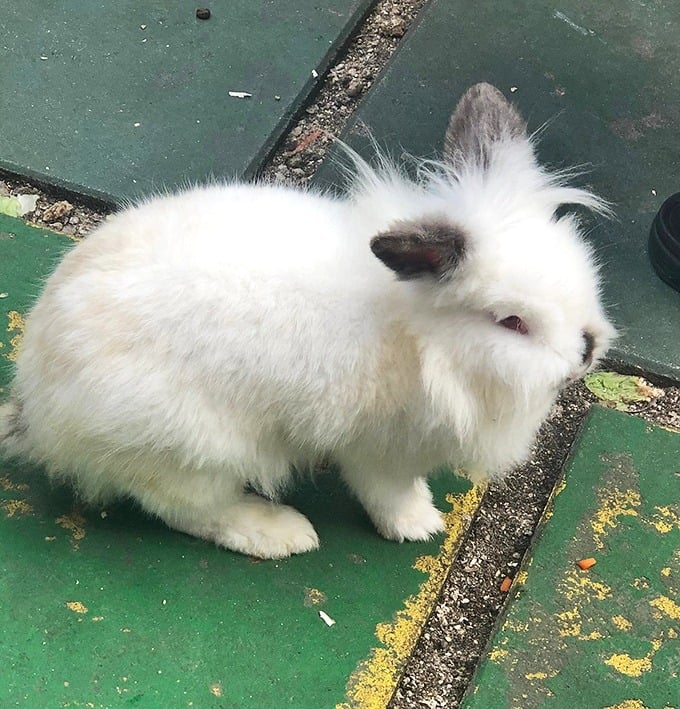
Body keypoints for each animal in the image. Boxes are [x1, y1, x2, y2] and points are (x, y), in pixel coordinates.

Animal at [0, 83, 615, 559]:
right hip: (192, 451)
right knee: (185, 508)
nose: (585, 351)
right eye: (511, 322)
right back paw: (281, 533)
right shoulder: (378, 446)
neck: (420, 339)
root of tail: (39, 412)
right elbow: (387, 491)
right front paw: (419, 526)